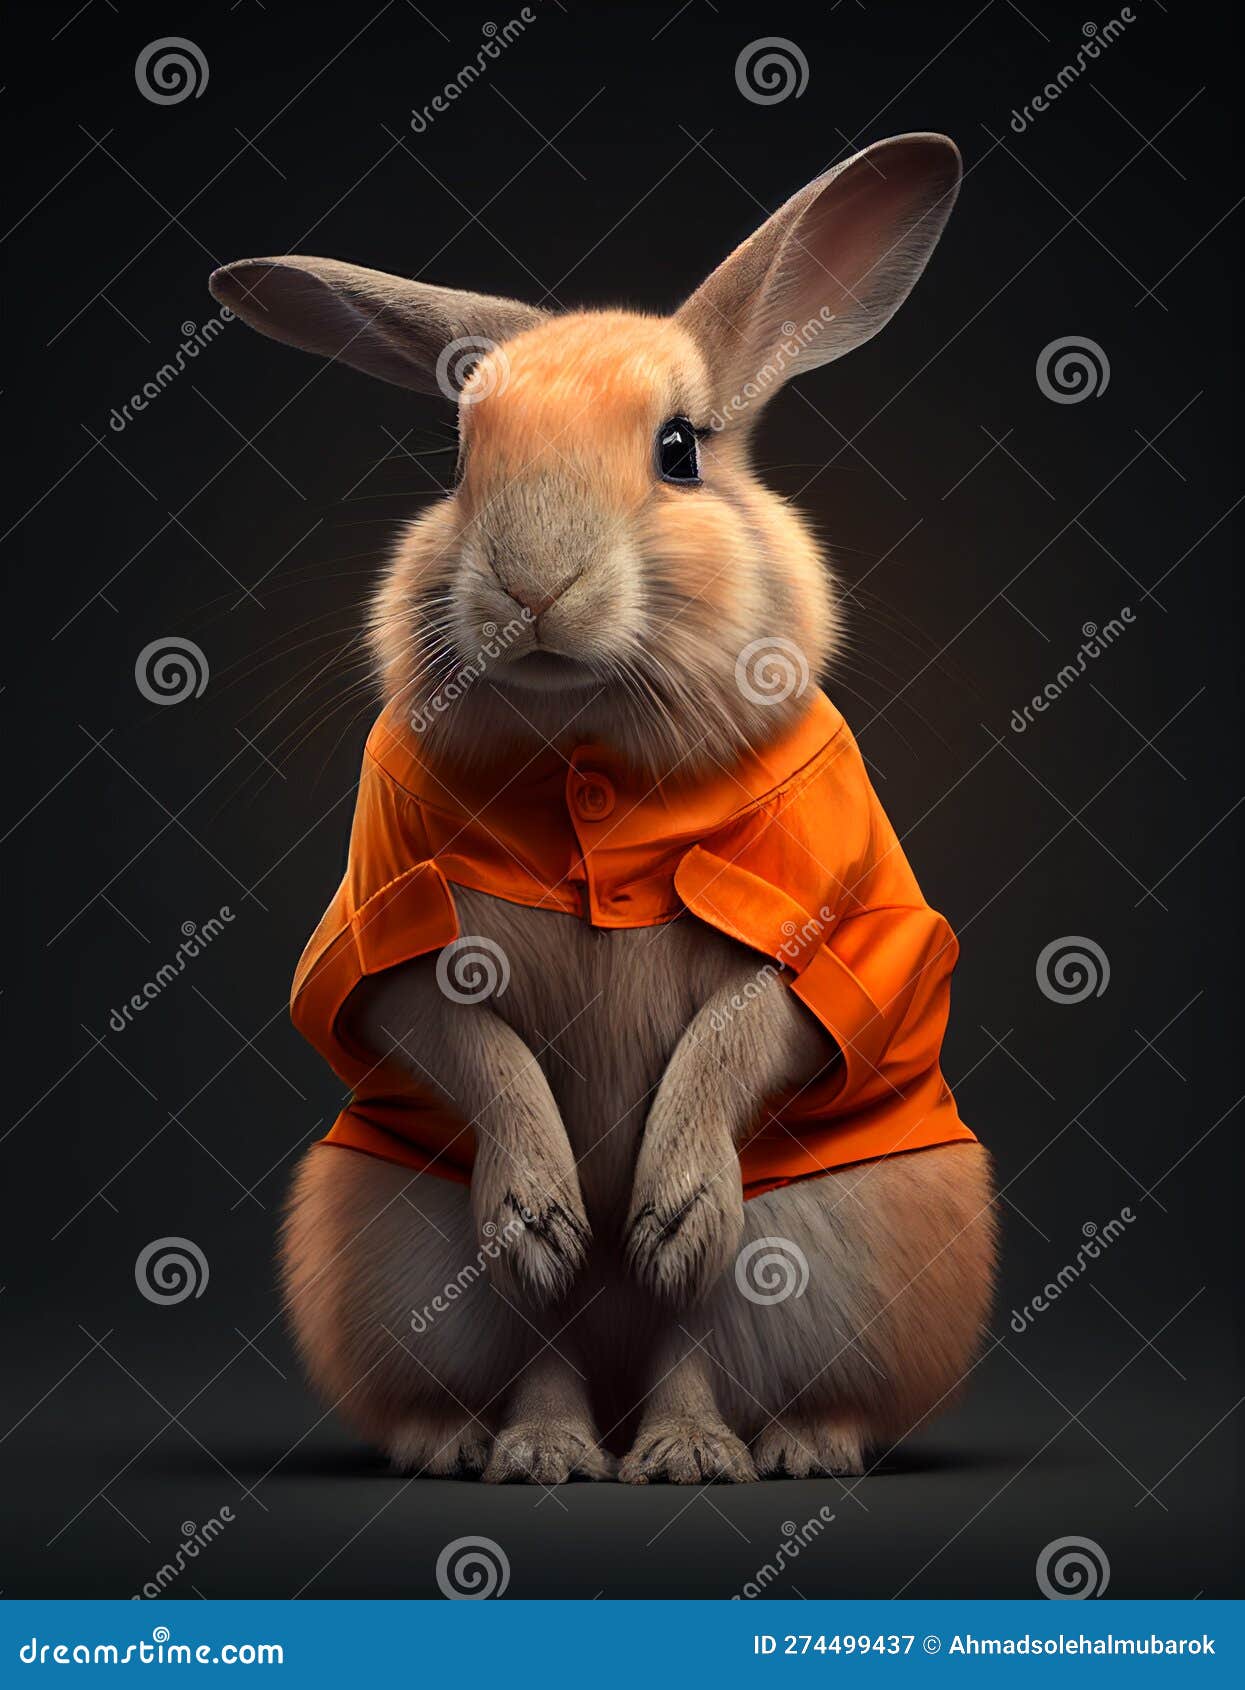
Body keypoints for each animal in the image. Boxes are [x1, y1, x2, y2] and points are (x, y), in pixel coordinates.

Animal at [212, 131, 997, 1485]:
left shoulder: (826, 929)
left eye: (679, 449)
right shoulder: (397, 925)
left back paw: (733, 1448)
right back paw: (516, 1450)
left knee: (703, 1334)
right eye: (461, 461)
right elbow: (447, 1032)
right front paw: (539, 1209)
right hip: (400, 1236)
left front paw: (669, 1206)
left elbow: (756, 1021)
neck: (589, 757)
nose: (531, 585)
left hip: (827, 1235)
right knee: (542, 1337)